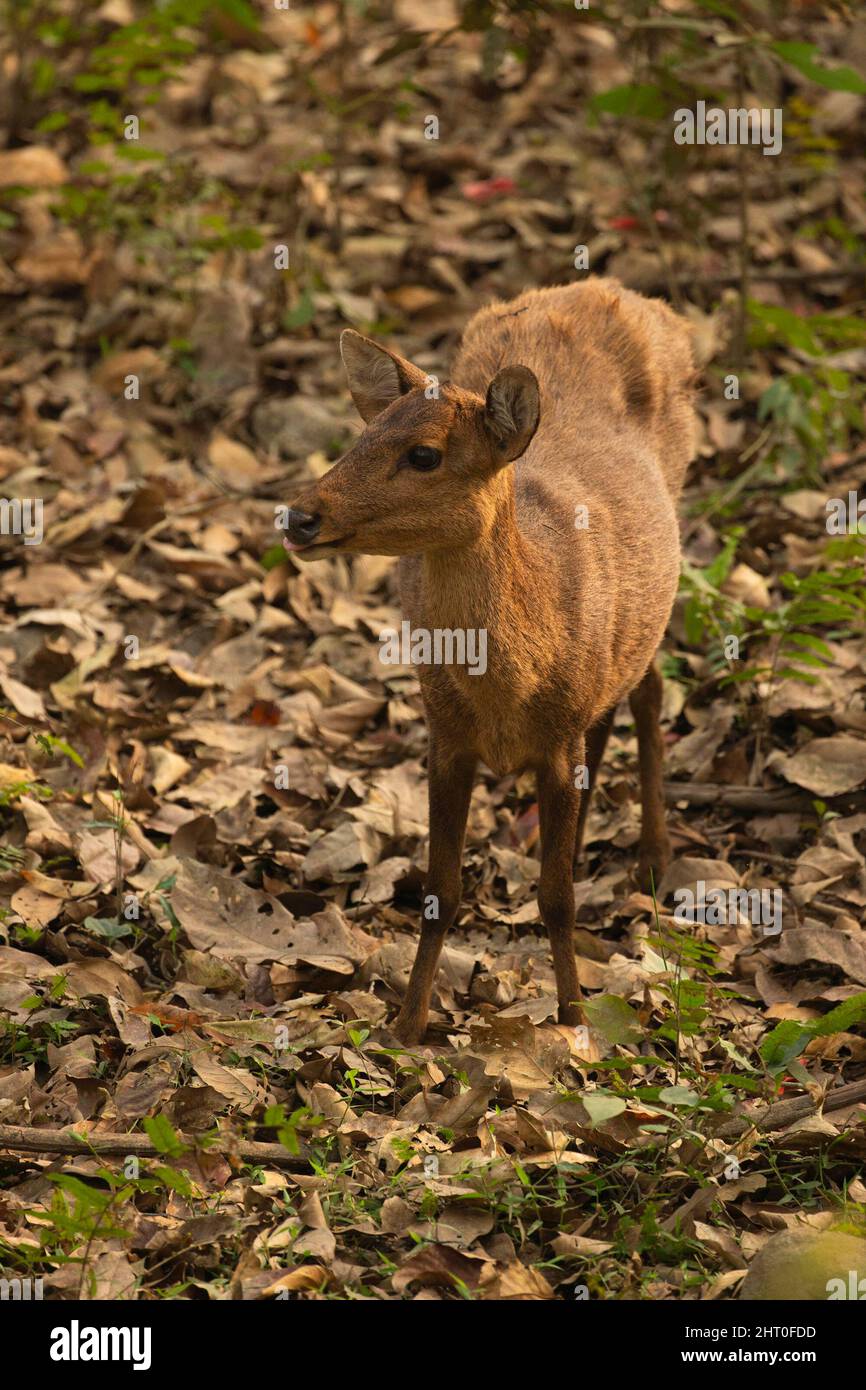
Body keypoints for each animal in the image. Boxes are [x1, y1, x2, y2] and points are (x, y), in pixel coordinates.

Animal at [284, 278, 697, 1045]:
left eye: (424, 454)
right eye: (361, 436)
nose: (298, 517)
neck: (509, 688)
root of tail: (618, 291)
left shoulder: (554, 739)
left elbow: (557, 899)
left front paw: (572, 1021)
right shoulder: (444, 735)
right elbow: (440, 892)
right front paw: (408, 1025)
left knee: (651, 687)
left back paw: (653, 857)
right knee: (612, 709)